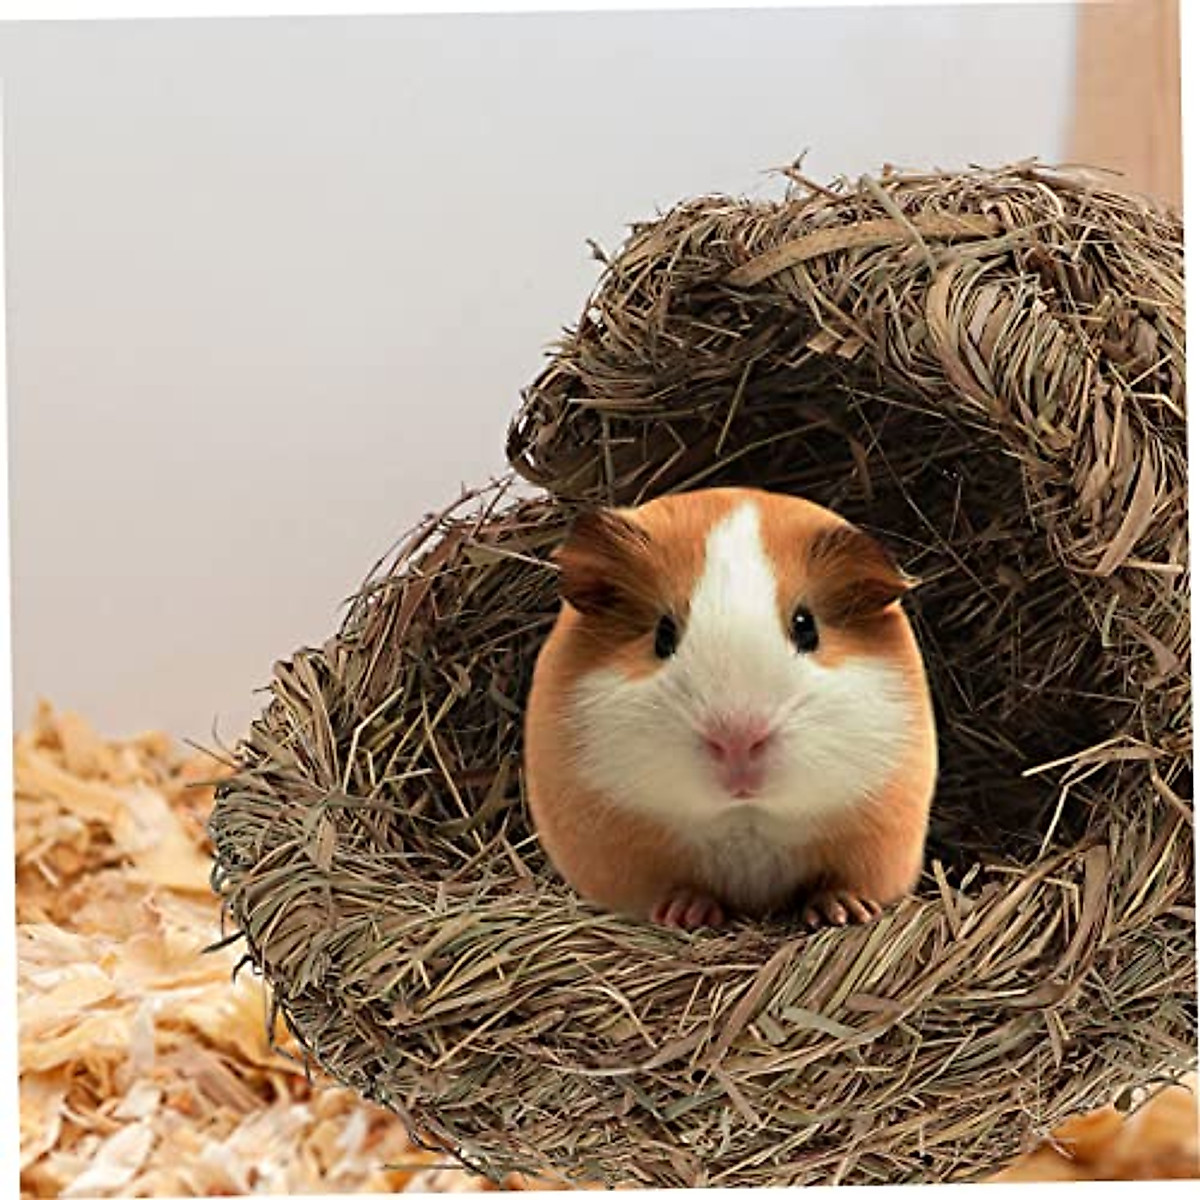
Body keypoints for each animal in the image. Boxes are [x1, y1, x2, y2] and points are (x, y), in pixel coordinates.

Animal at [523, 486, 937, 931]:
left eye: (806, 626)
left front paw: (843, 912)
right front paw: (685, 914)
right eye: (663, 635)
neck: (744, 819)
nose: (737, 740)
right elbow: (670, 890)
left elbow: (840, 882)